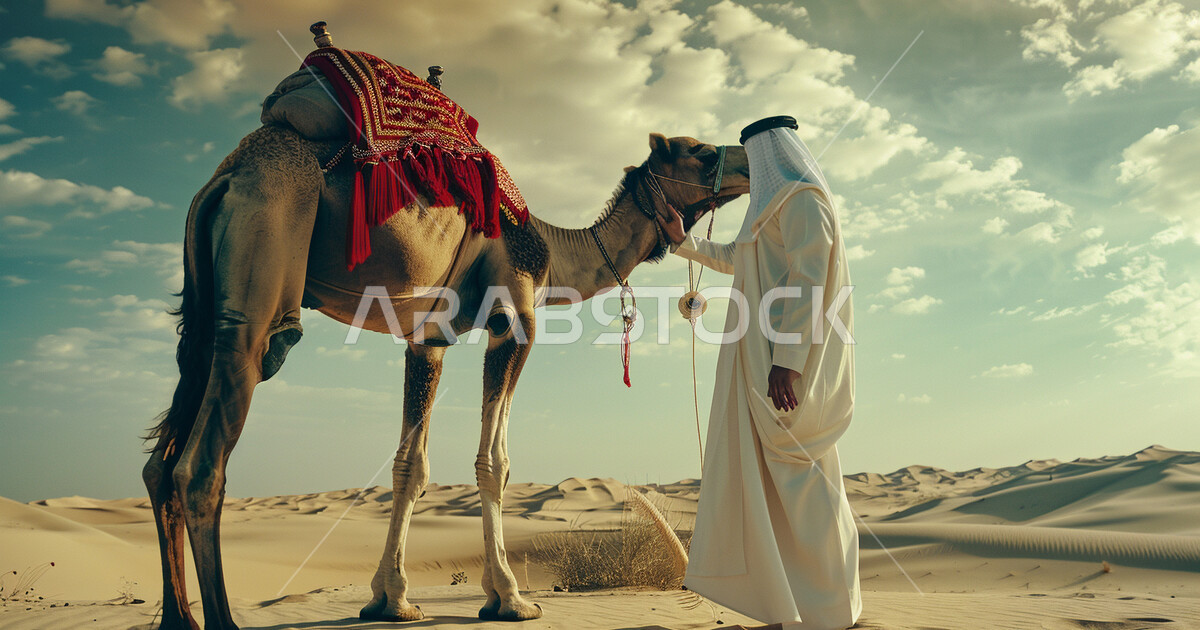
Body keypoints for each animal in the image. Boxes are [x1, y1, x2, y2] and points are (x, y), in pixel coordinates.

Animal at [140, 119, 749, 629]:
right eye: (699, 151)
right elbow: (495, 462)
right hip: (261, 275)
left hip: (202, 318)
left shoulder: (427, 336)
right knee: (200, 466)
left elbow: (410, 465)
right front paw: (509, 598)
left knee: (159, 465)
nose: (746, 154)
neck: (552, 252)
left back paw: (179, 620)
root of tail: (224, 180)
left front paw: (391, 600)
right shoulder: (514, 319)